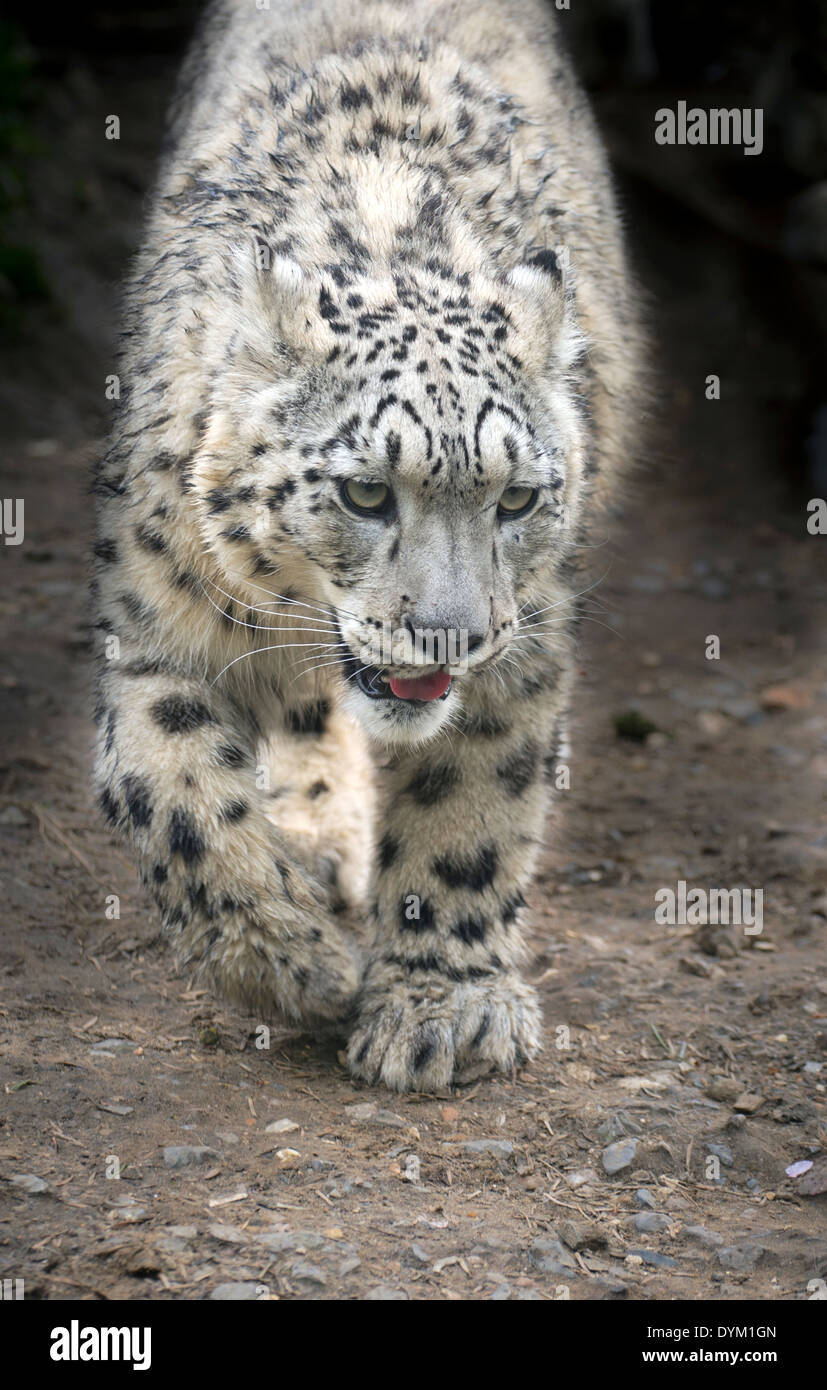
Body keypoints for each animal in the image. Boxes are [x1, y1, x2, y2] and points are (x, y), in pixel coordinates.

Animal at [92, 0, 646, 1092]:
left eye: (517, 497)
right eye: (363, 490)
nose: (450, 634)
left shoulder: (525, 648)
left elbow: (472, 806)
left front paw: (442, 1009)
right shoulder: (153, 630)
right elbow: (171, 786)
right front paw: (292, 963)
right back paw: (310, 840)